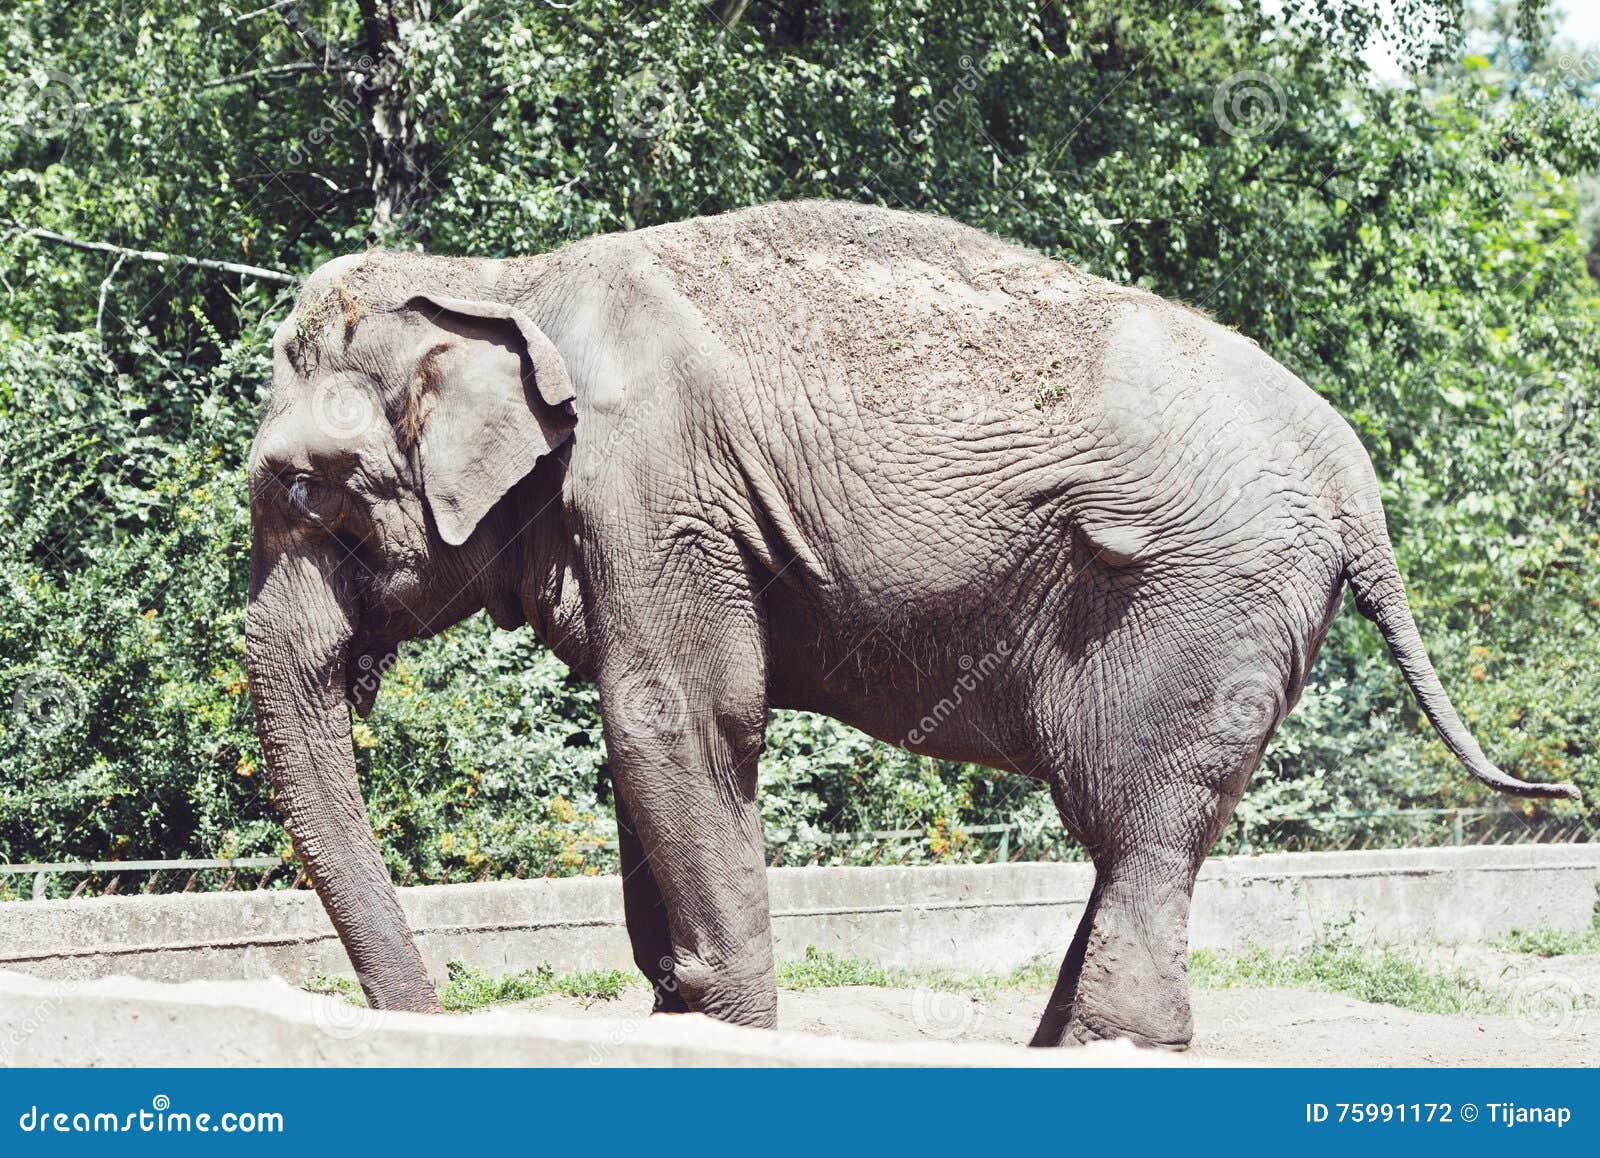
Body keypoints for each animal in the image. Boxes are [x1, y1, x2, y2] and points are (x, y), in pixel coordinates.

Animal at [245, 199, 1578, 1047]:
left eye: (304, 488)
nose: (424, 1020)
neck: (503, 279)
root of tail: (1358, 483)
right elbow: (650, 735)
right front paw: (677, 1015)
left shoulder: (659, 490)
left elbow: (678, 719)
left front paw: (719, 1025)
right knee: (1135, 835)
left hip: (1208, 601)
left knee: (1136, 827)